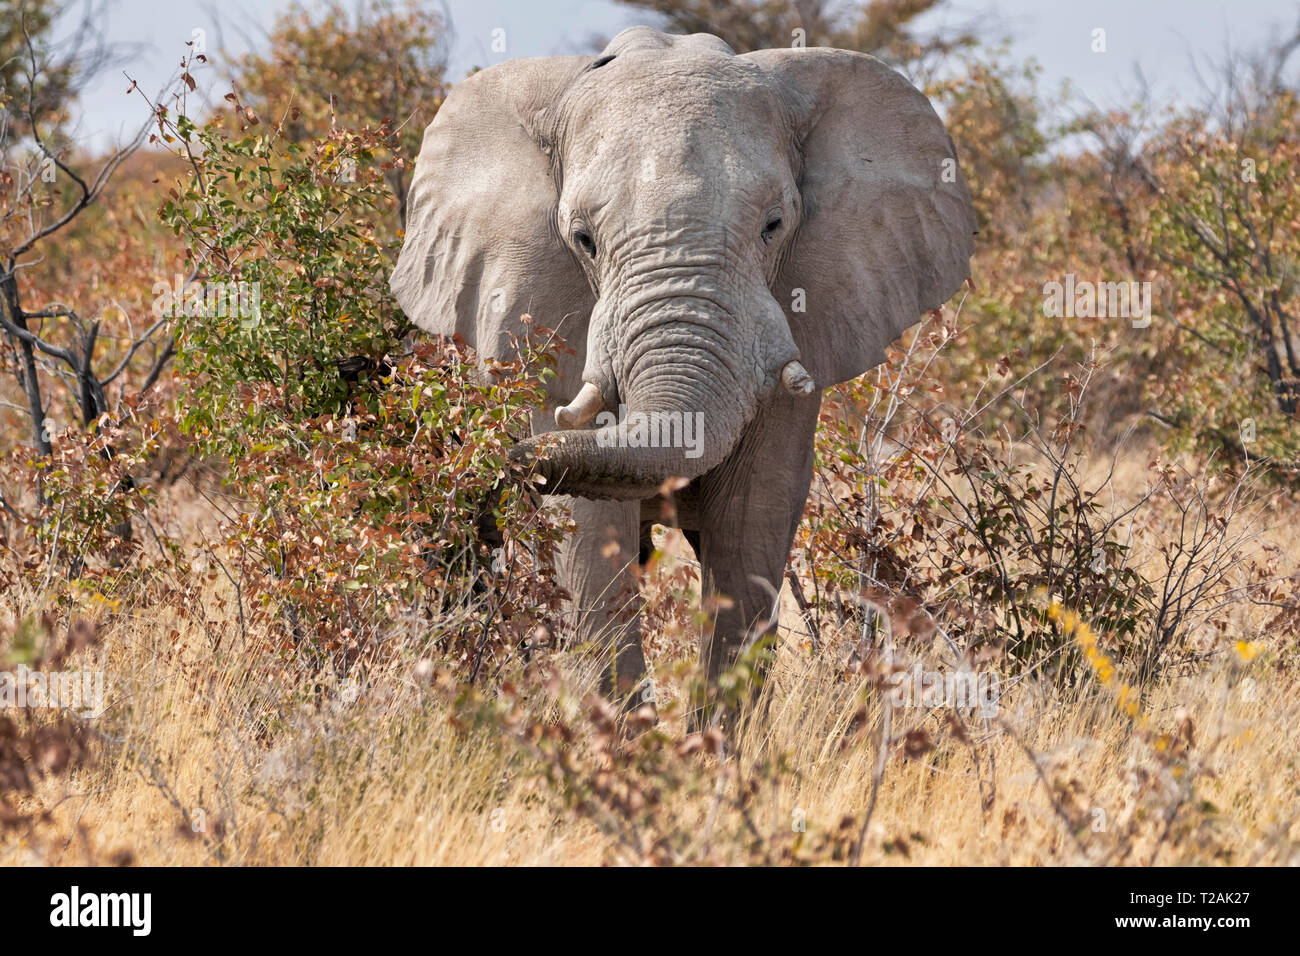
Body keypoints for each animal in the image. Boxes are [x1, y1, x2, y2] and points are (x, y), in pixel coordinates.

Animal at [390, 26, 976, 713]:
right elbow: (588, 535)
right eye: (584, 240)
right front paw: (625, 736)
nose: (510, 460)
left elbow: (751, 518)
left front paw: (719, 738)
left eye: (774, 225)